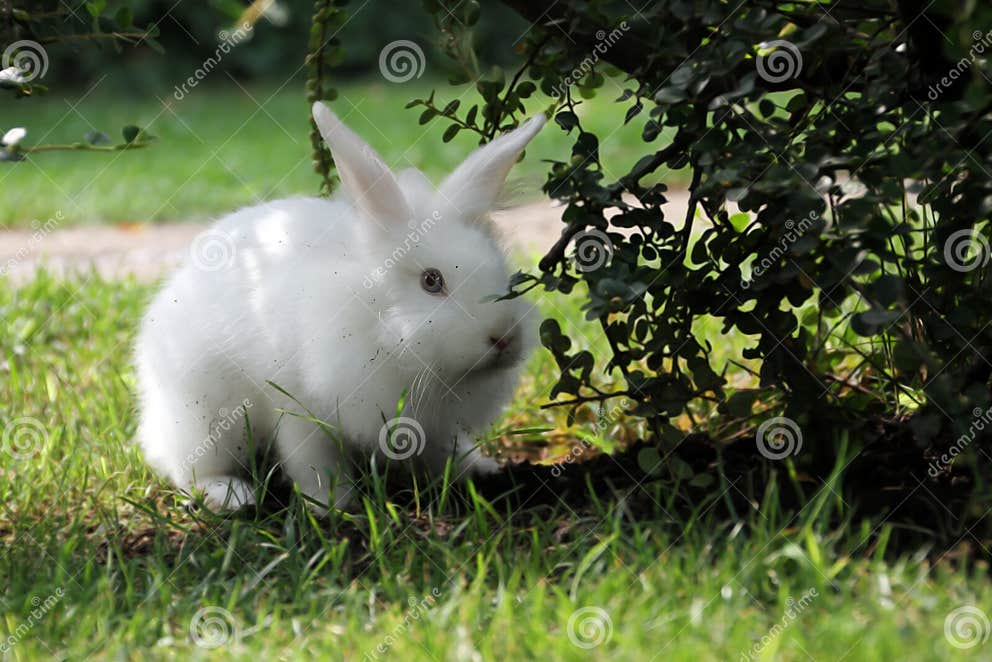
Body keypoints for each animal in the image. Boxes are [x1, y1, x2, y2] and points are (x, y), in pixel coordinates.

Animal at [133, 102, 545, 513]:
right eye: (432, 281)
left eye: (501, 271)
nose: (505, 337)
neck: (373, 320)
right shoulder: (298, 403)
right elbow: (313, 460)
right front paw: (336, 506)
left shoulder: (432, 424)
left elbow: (440, 450)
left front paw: (471, 470)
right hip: (204, 420)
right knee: (186, 469)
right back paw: (231, 495)